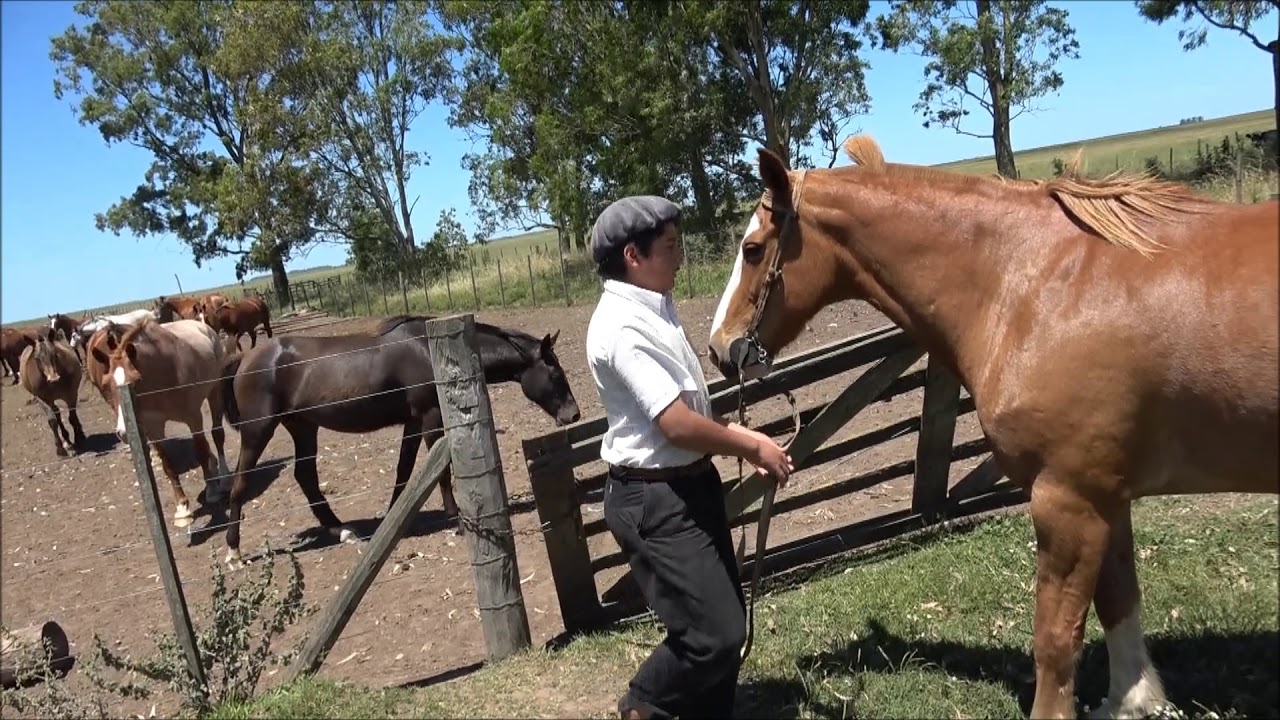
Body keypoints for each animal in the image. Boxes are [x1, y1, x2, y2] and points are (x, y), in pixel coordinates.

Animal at [19, 329, 88, 457]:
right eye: (37, 358)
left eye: (54, 354)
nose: (53, 378)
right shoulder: (42, 400)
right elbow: (53, 421)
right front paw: (60, 449)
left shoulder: (71, 395)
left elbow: (72, 417)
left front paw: (78, 438)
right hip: (50, 401)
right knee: (57, 415)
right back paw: (66, 440)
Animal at [89, 318, 234, 529]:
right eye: (106, 385)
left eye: (135, 382)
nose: (123, 432)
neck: (164, 372)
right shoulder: (153, 429)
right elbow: (168, 466)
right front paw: (182, 509)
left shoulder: (193, 418)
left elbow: (200, 450)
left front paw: (212, 492)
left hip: (215, 391)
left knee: (217, 434)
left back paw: (222, 478)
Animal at [217, 314, 582, 567]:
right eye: (554, 374)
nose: (573, 414)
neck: (430, 352)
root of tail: (246, 360)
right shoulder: (431, 418)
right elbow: (441, 475)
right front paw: (455, 519)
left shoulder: (412, 422)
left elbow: (403, 471)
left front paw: (394, 521)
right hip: (258, 430)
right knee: (241, 482)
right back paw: (234, 550)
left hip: (303, 428)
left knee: (305, 478)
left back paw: (343, 531)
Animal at [706, 137, 1278, 720]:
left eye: (753, 249)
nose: (719, 348)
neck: (1031, 286)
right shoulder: (1106, 495)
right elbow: (1119, 602)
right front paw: (1132, 700)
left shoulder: (1067, 499)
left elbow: (1055, 637)